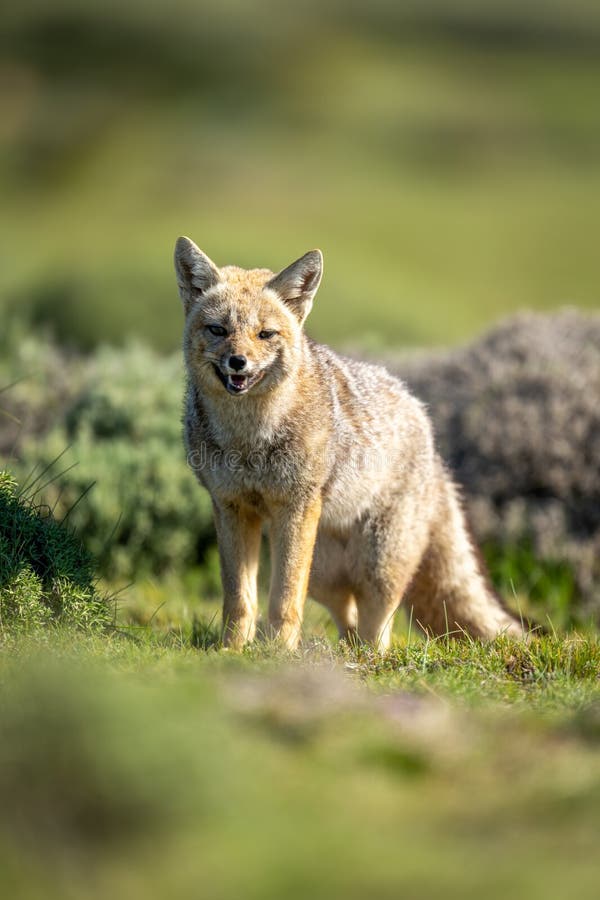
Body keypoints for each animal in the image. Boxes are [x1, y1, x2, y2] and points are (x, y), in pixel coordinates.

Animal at [175, 236, 524, 650]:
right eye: (218, 329)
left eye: (265, 334)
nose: (237, 362)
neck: (249, 440)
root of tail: (427, 430)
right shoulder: (231, 507)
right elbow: (239, 598)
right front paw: (232, 649)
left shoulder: (295, 507)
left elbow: (284, 600)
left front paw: (277, 652)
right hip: (324, 577)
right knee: (350, 620)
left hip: (378, 569)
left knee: (378, 629)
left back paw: (366, 657)